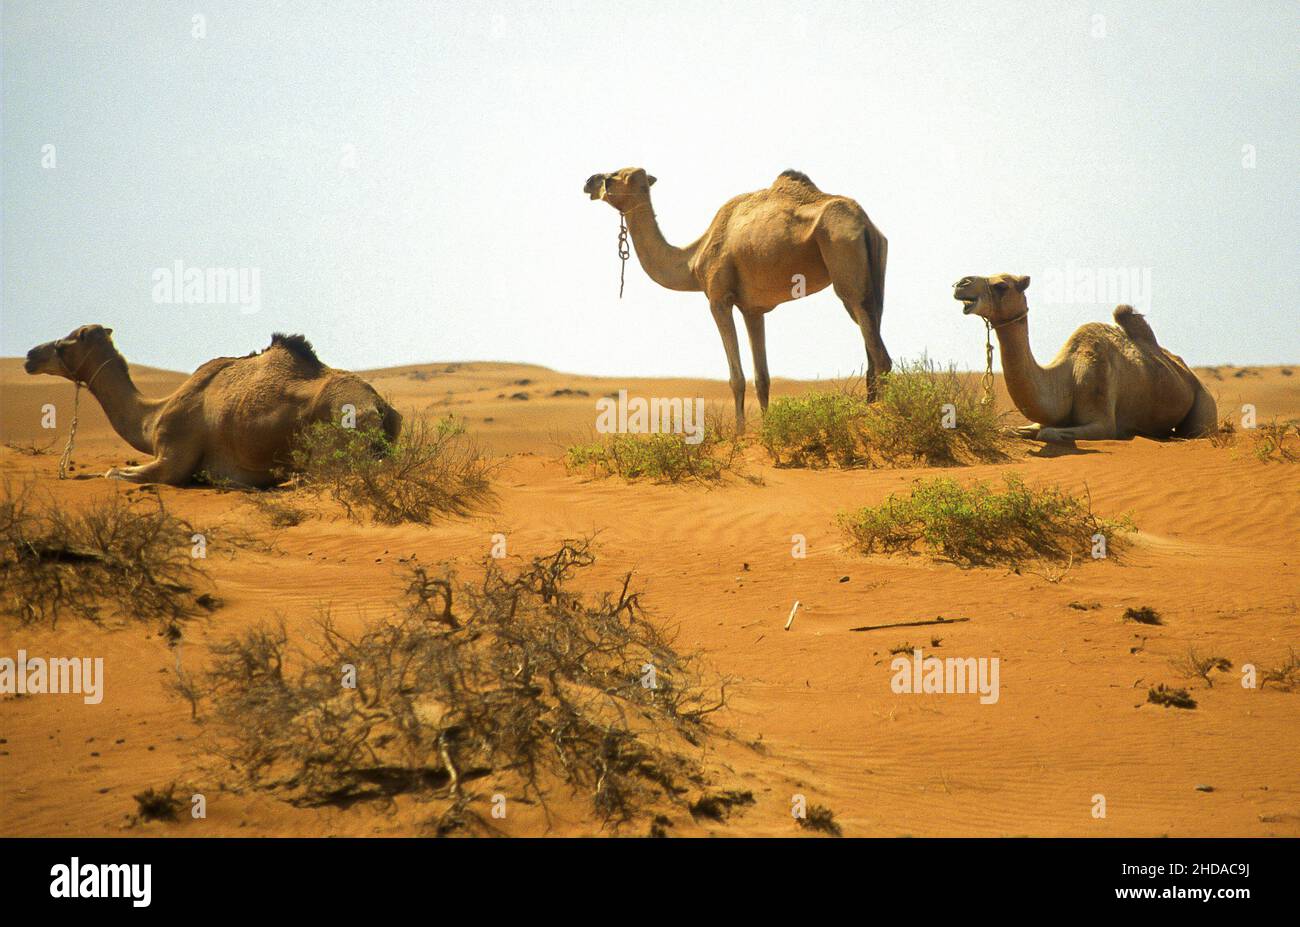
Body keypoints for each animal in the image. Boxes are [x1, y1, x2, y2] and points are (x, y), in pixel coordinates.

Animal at [24, 325, 401, 486]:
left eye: (66, 342)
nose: (29, 355)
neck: (152, 416)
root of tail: (379, 407)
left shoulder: (173, 456)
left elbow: (115, 472)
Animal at [584, 167, 890, 430]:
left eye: (613, 175)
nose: (589, 181)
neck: (692, 261)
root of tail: (865, 224)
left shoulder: (719, 299)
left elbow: (737, 378)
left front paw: (739, 435)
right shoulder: (753, 309)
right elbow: (762, 378)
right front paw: (767, 430)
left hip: (844, 261)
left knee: (879, 354)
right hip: (875, 280)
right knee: (872, 340)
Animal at [952, 274, 1217, 442]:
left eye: (1001, 286)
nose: (961, 283)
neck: (1065, 375)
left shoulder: (1103, 421)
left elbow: (1048, 433)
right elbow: (1010, 430)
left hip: (1204, 405)